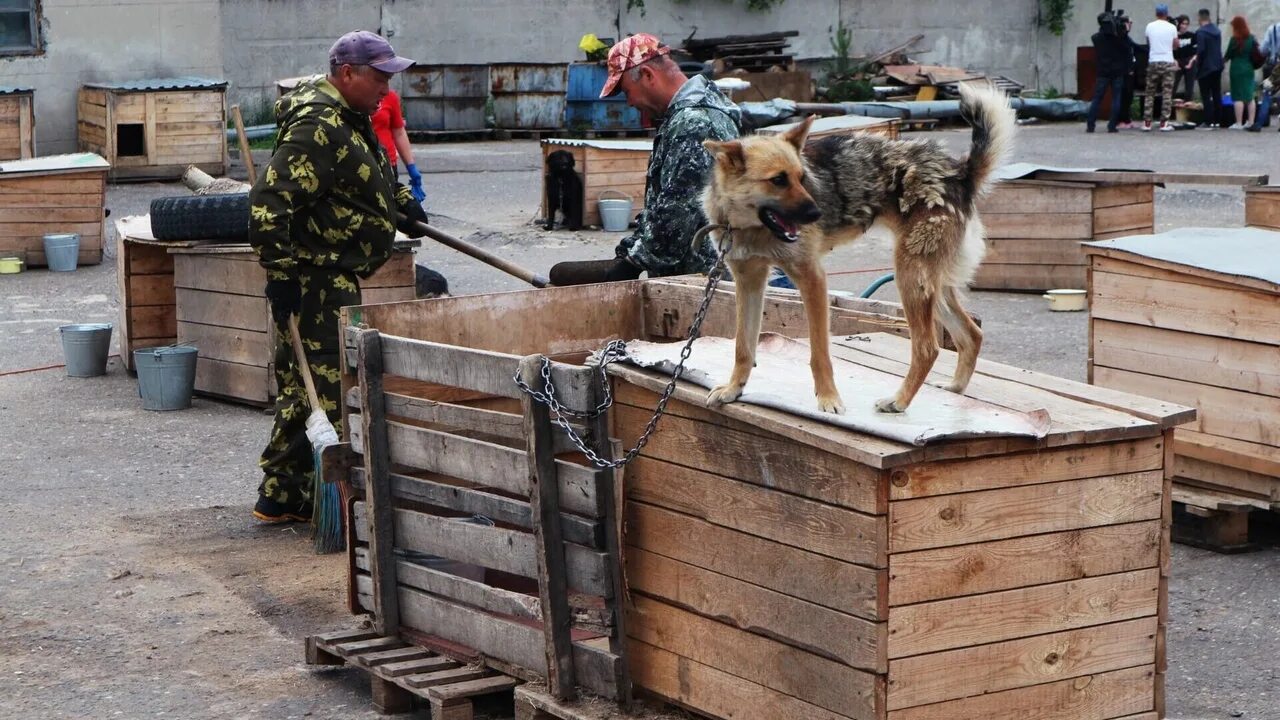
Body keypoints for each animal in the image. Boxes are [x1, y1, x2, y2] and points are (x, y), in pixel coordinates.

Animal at [696, 85, 1013, 415]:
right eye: (778, 180)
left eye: (801, 177)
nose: (817, 213)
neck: (749, 226)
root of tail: (960, 172)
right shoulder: (749, 282)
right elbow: (743, 346)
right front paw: (734, 389)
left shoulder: (812, 279)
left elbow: (819, 353)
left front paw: (828, 398)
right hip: (931, 285)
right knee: (971, 335)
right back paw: (954, 389)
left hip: (910, 277)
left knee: (928, 348)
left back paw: (899, 401)